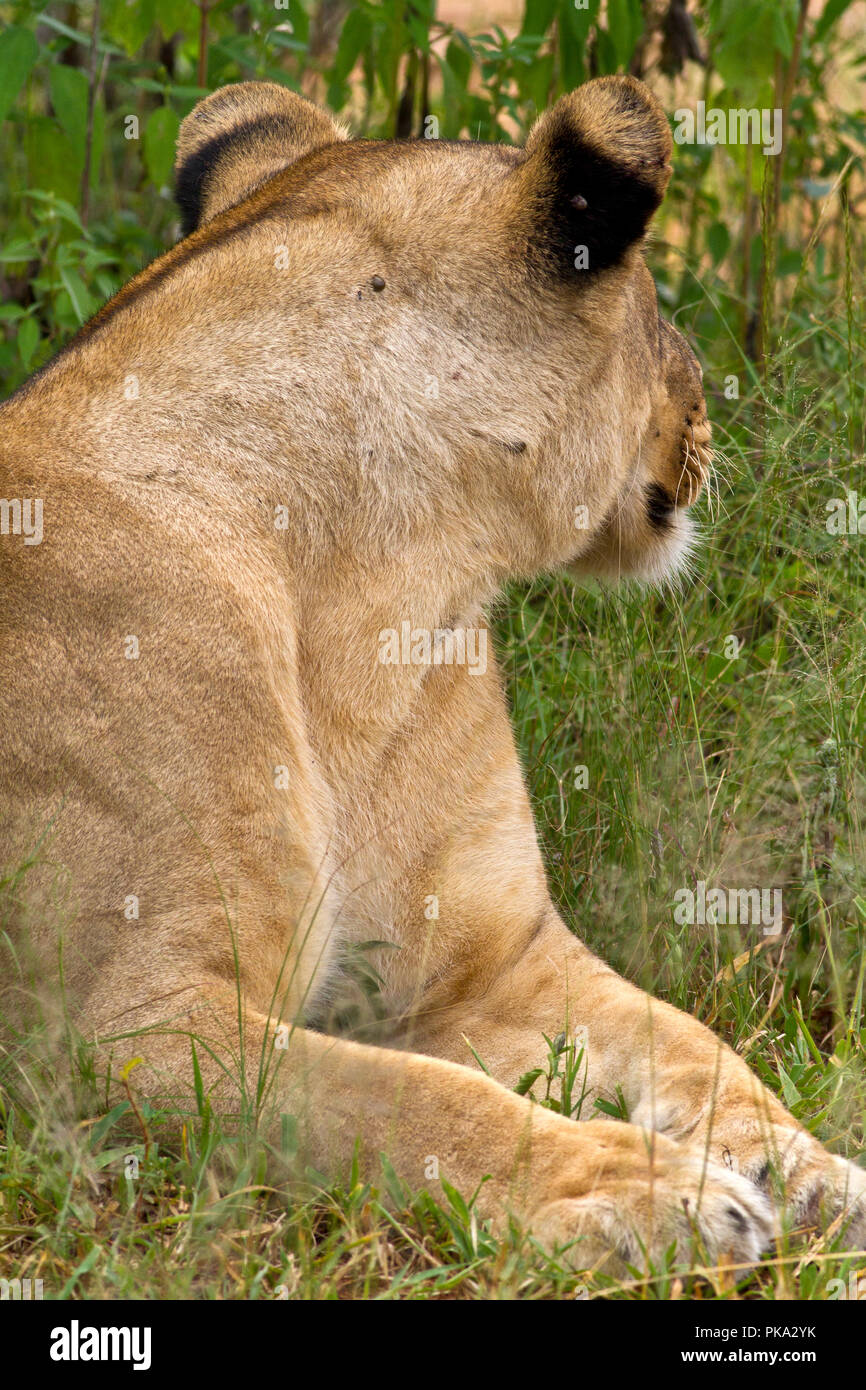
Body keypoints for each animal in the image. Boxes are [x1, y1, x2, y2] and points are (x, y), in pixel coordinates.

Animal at [0, 75, 863, 1274]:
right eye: (655, 311)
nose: (706, 402)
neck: (380, 608)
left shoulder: (495, 964)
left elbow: (692, 1039)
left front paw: (803, 1166)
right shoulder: (124, 1028)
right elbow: (417, 1105)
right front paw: (652, 1196)